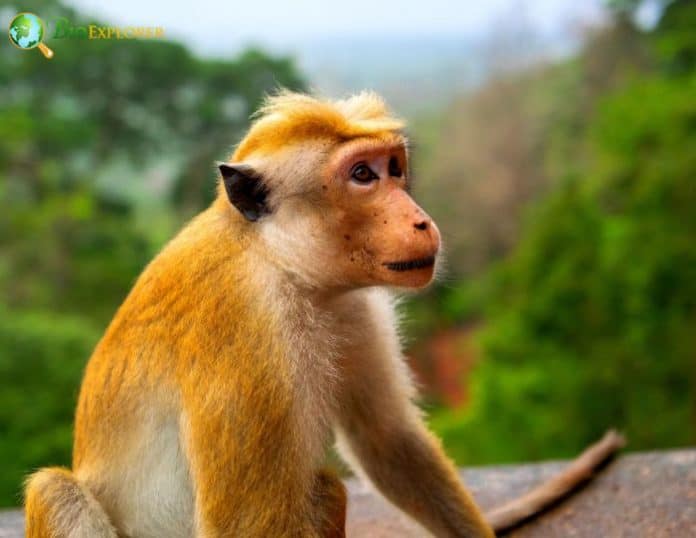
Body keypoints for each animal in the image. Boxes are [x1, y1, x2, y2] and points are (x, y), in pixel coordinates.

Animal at [24, 90, 624, 538]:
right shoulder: (250, 339)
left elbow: (385, 437)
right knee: (58, 493)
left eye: (393, 168)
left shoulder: (350, 305)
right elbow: (250, 526)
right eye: (361, 175)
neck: (279, 263)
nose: (421, 220)